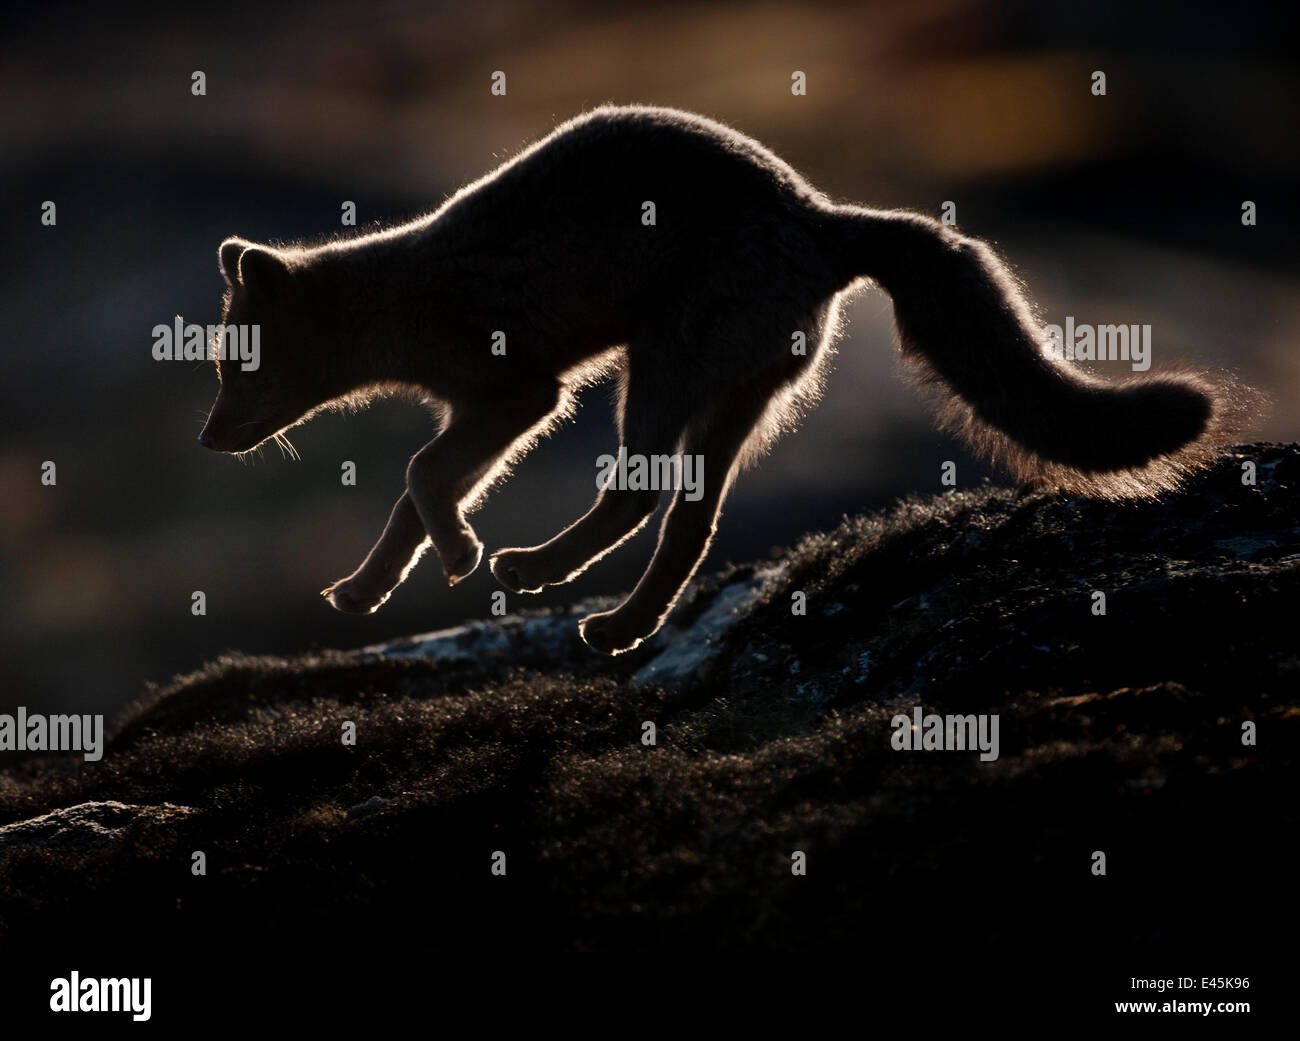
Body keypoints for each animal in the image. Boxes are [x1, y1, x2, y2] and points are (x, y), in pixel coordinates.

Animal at [199, 104, 1246, 654]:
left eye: (235, 365)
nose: (207, 438)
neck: (403, 299)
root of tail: (824, 214)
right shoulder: (489, 407)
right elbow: (413, 497)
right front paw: (365, 590)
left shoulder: (523, 392)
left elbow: (420, 479)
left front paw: (457, 556)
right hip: (740, 394)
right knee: (689, 518)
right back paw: (619, 625)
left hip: (663, 369)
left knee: (640, 492)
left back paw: (540, 576)